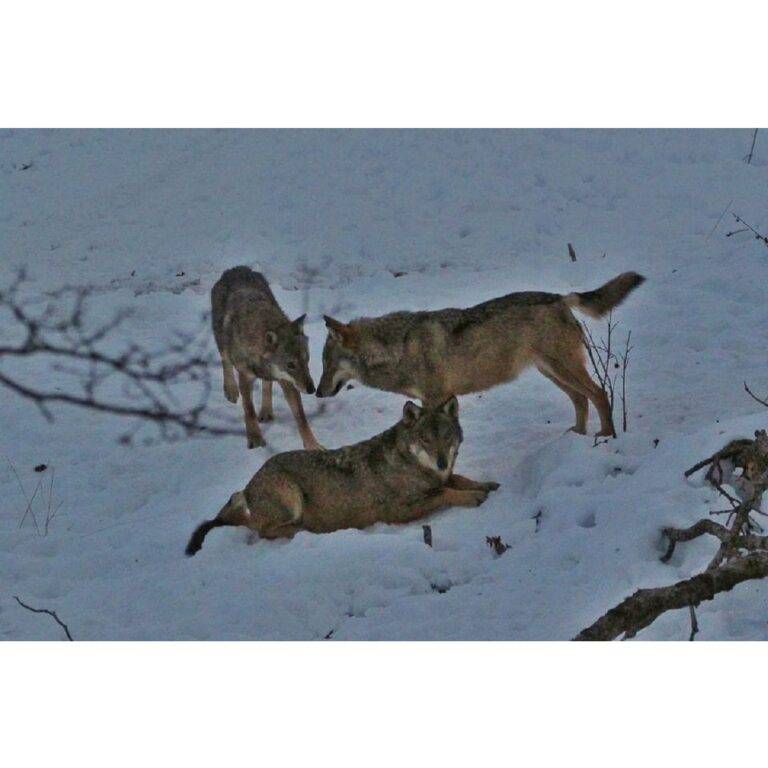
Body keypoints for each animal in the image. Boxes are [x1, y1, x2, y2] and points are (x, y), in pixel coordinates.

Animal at [185, 396, 498, 555]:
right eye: (425, 439)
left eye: (446, 437)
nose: (442, 462)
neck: (409, 462)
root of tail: (249, 487)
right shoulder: (400, 510)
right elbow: (446, 492)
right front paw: (475, 496)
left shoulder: (443, 477)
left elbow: (458, 479)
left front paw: (485, 484)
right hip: (290, 496)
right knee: (264, 531)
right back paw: (301, 530)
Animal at [211, 266, 322, 450]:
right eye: (290, 364)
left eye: (306, 360)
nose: (312, 389)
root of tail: (236, 268)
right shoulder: (245, 376)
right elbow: (249, 410)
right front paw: (255, 439)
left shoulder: (286, 381)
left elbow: (301, 418)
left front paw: (313, 446)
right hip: (222, 342)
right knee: (225, 361)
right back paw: (231, 391)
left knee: (267, 383)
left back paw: (266, 411)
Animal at [316, 272, 645, 438]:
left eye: (327, 362)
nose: (316, 392)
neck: (400, 347)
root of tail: (560, 298)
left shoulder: (435, 399)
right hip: (551, 372)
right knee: (581, 399)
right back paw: (576, 434)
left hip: (563, 370)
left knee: (598, 393)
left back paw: (607, 435)